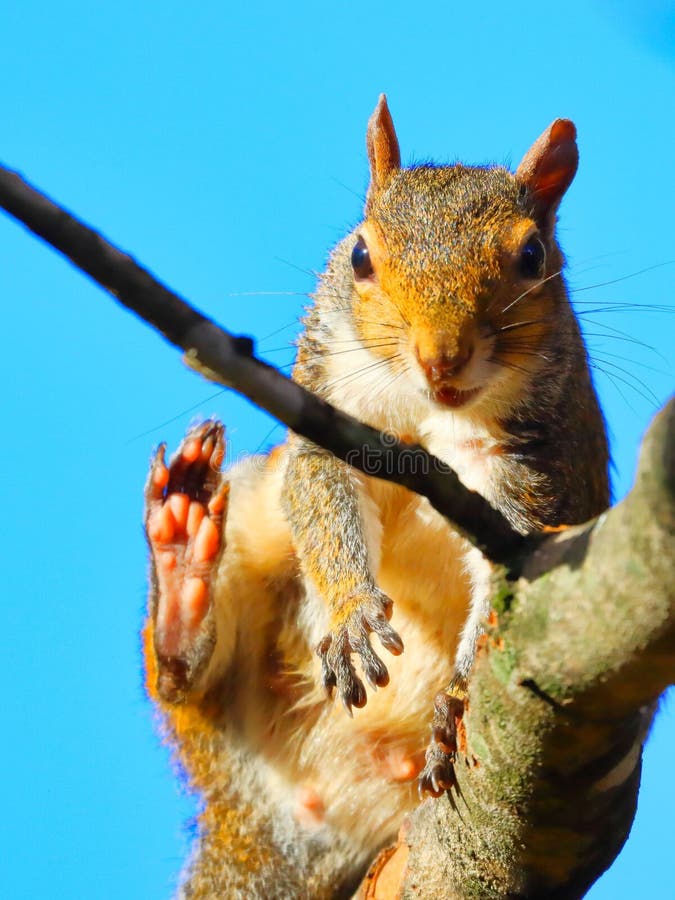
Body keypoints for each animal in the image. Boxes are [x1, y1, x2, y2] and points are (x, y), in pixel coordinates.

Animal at [143, 95, 610, 899]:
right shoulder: (328, 416)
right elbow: (322, 499)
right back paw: (183, 573)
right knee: (187, 688)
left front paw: (458, 701)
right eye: (360, 256)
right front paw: (353, 617)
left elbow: (503, 594)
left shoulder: (534, 480)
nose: (441, 358)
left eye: (532, 258)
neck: (430, 416)